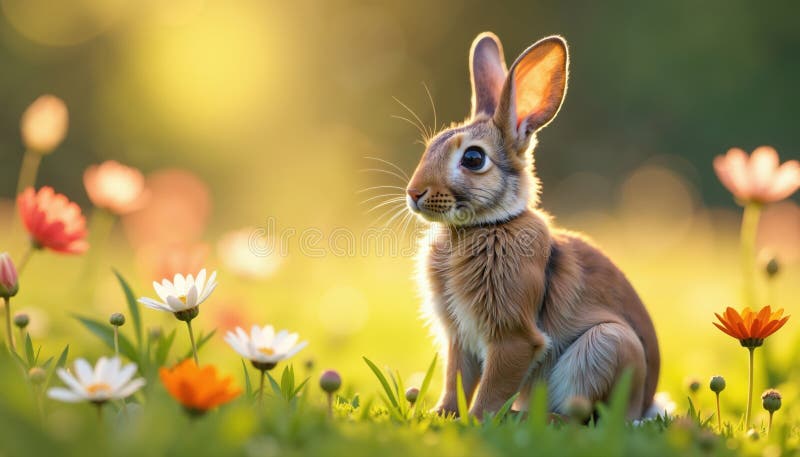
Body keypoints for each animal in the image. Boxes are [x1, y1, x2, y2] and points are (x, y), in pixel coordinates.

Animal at [405, 32, 660, 419]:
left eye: (473, 158)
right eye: (430, 146)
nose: (414, 193)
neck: (485, 225)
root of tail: (644, 406)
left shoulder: (513, 335)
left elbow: (492, 387)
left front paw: (476, 421)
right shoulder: (459, 338)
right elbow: (456, 380)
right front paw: (443, 415)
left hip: (608, 345)